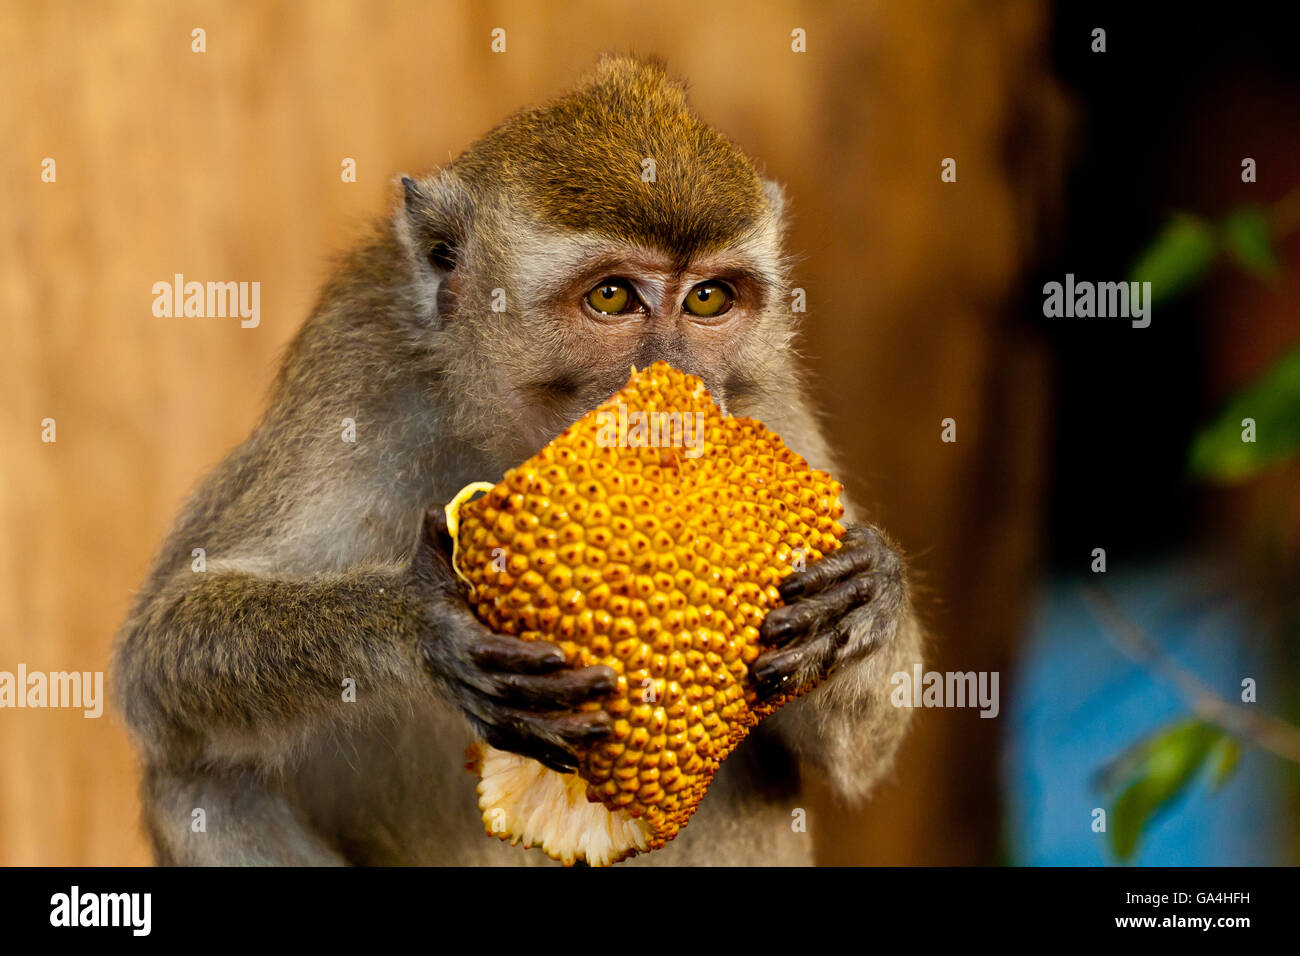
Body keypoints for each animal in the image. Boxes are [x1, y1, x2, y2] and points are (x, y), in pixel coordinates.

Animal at [112, 54, 923, 866]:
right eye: (611, 296)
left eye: (708, 299)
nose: (677, 400)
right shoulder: (355, 367)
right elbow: (159, 654)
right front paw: (423, 624)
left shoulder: (767, 401)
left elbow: (859, 753)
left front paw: (864, 595)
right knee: (199, 782)